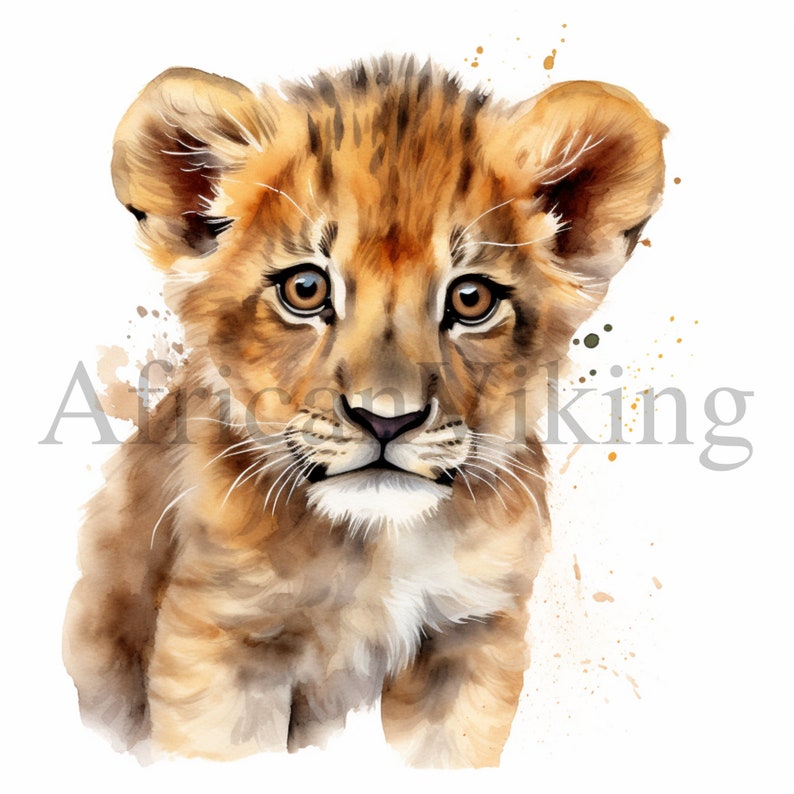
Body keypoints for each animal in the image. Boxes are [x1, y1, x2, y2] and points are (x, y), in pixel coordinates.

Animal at [63, 56, 665, 767]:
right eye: (305, 288)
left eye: (471, 298)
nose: (386, 420)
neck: (380, 545)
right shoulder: (222, 638)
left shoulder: (471, 635)